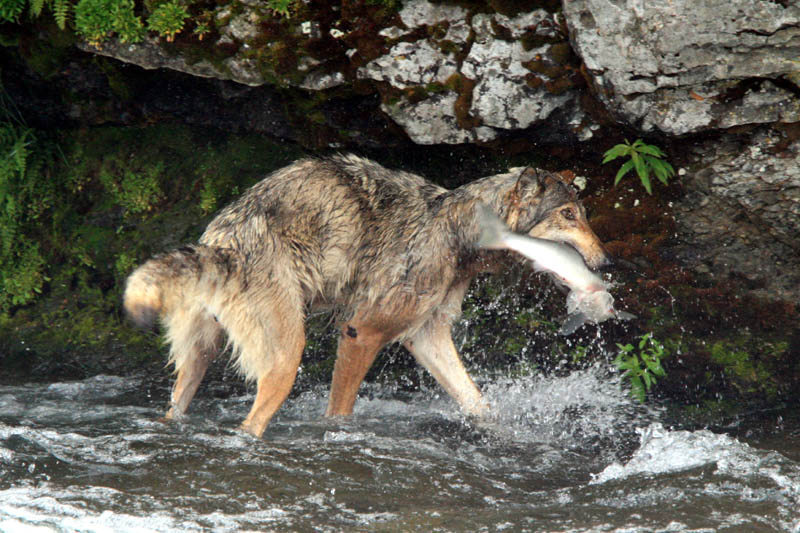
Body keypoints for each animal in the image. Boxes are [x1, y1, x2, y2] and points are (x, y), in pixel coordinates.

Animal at [124, 154, 609, 437]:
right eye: (568, 215)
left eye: (584, 214)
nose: (606, 264)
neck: (458, 231)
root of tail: (221, 243)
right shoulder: (361, 332)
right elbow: (339, 412)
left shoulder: (426, 336)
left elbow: (478, 403)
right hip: (285, 359)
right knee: (251, 424)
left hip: (198, 362)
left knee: (176, 408)